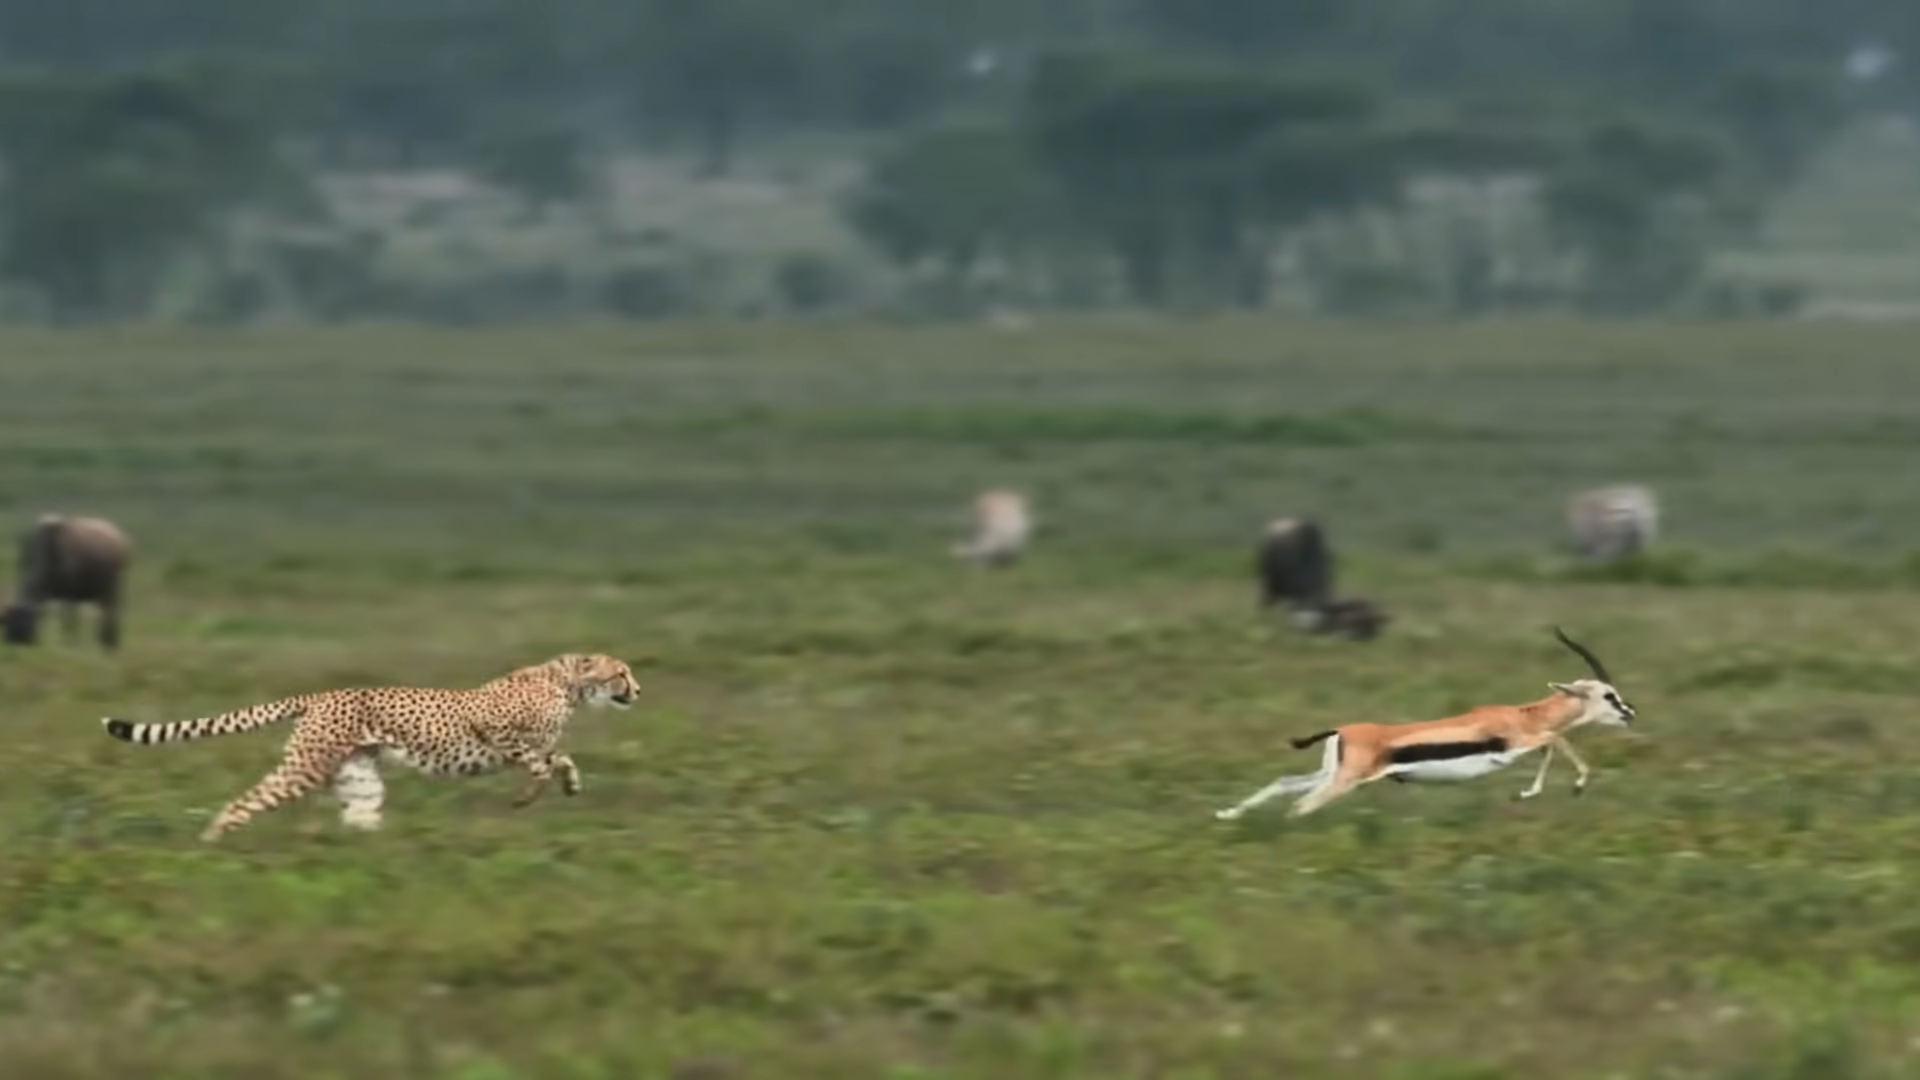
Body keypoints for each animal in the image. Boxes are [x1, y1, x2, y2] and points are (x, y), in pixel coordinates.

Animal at [100, 652, 640, 842]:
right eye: (621, 672)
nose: (637, 690)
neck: (566, 682)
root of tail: (321, 695)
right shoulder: (494, 730)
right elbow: (539, 764)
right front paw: (527, 797)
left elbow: (560, 758)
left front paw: (571, 785)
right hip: (306, 767)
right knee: (246, 800)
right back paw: (213, 839)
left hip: (357, 777)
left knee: (361, 817)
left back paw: (380, 855)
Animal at [1214, 626, 1634, 821]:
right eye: (1607, 695)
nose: (1630, 713)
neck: (1521, 714)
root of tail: (1341, 730)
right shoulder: (1515, 746)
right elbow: (1557, 742)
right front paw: (1572, 788)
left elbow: (1552, 745)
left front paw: (1527, 794)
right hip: (1345, 781)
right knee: (1301, 805)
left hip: (1331, 774)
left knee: (1284, 784)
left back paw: (1227, 815)